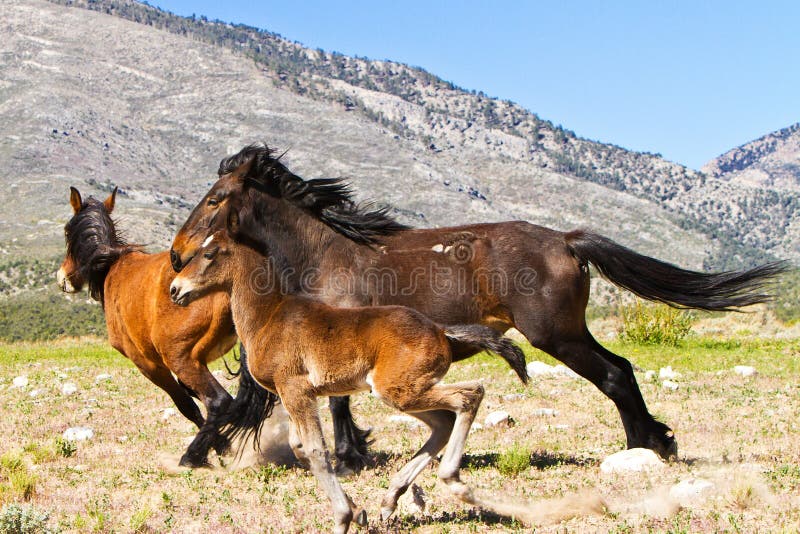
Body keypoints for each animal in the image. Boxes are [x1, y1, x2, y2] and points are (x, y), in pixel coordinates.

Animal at [58, 186, 257, 467]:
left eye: (67, 232)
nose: (62, 278)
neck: (111, 265)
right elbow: (191, 394)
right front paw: (221, 443)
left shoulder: (150, 364)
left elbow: (186, 404)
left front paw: (217, 446)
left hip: (178, 358)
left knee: (218, 401)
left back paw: (191, 456)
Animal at [168, 223, 599, 532]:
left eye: (209, 253)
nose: (175, 289)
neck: (268, 316)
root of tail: (440, 330)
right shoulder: (294, 396)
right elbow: (300, 448)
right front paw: (357, 510)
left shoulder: (297, 390)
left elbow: (317, 451)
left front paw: (344, 517)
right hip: (403, 391)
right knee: (442, 422)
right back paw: (391, 499)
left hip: (400, 391)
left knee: (469, 395)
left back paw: (451, 479)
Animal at [169, 143, 786, 472]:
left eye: (215, 199)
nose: (175, 257)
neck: (326, 255)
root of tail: (567, 240)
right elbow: (337, 403)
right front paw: (354, 453)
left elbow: (330, 404)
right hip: (567, 333)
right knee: (624, 369)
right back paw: (655, 440)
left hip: (555, 336)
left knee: (614, 375)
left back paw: (642, 447)